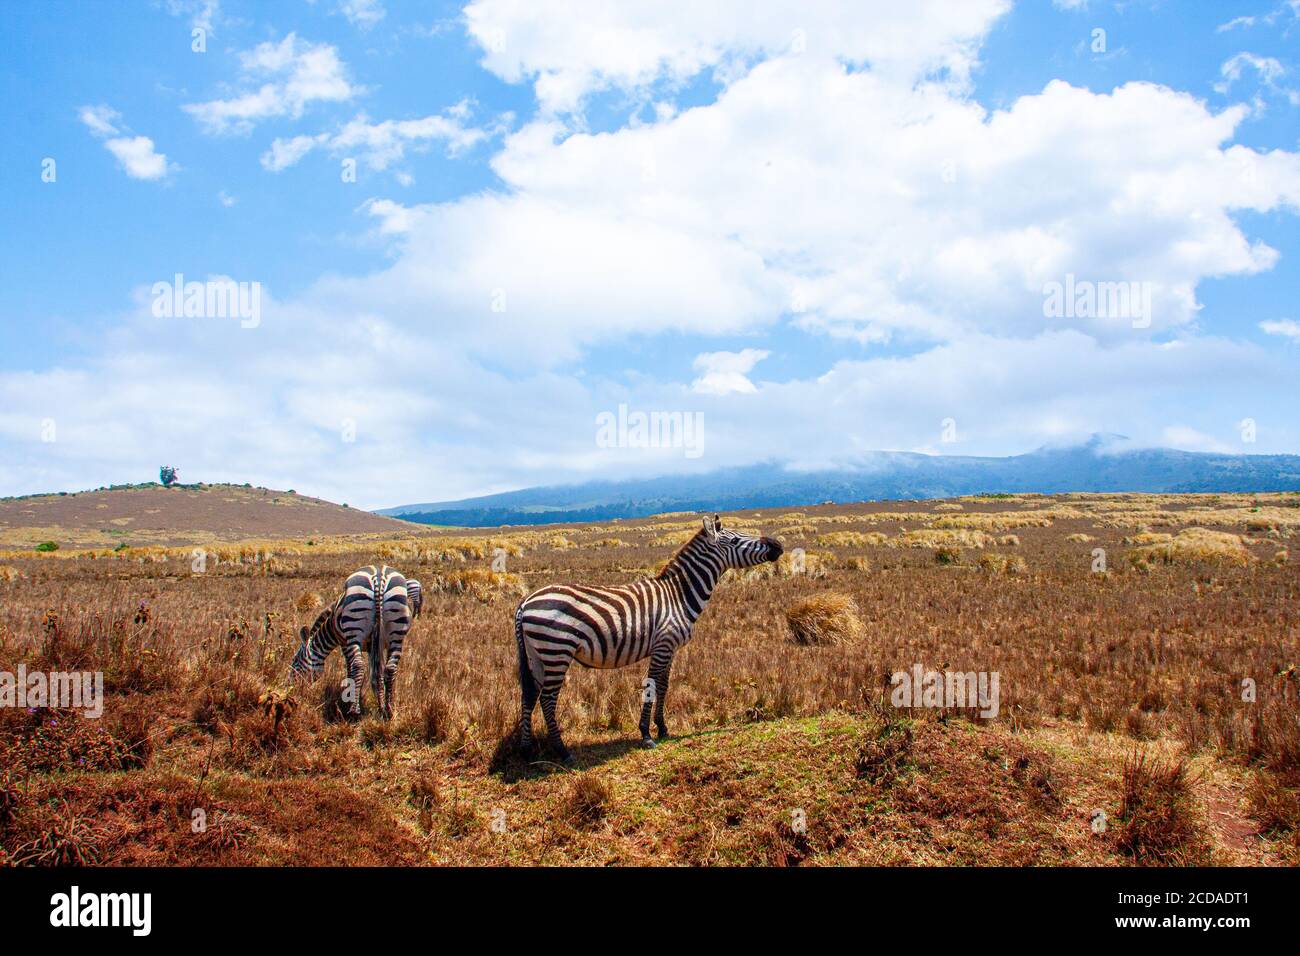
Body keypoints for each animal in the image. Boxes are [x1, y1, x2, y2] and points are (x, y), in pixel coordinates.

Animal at [290, 565, 412, 720]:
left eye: (295, 661)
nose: (291, 689)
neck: (331, 627)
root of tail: (378, 578)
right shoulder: (373, 647)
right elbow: (376, 674)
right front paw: (380, 706)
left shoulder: (344, 642)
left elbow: (350, 669)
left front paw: (349, 697)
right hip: (397, 634)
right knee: (390, 668)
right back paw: (389, 711)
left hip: (354, 630)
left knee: (358, 665)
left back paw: (353, 709)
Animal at [514, 514, 782, 761]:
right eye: (736, 540)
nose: (778, 545)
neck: (678, 596)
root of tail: (525, 602)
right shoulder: (663, 644)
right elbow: (651, 684)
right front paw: (645, 734)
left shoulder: (669, 648)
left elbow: (663, 685)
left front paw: (662, 728)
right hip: (556, 651)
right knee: (547, 698)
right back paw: (563, 751)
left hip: (537, 654)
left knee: (529, 694)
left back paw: (527, 750)